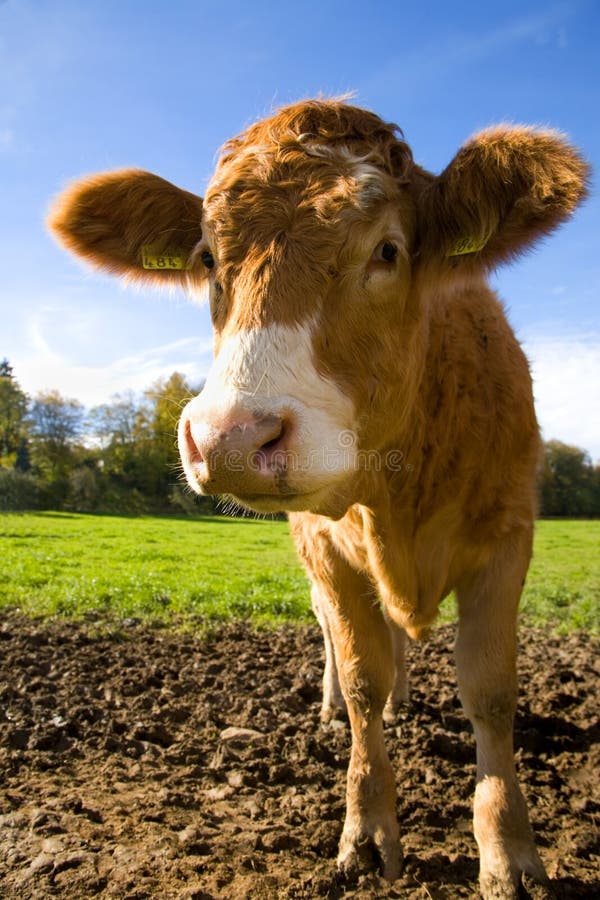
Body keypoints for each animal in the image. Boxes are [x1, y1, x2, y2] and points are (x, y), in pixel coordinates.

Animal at [48, 99, 589, 898]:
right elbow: (363, 676)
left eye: (388, 250)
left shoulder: (509, 534)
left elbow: (490, 691)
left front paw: (510, 853)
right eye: (207, 258)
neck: (398, 485)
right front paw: (366, 832)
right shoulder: (323, 546)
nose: (231, 436)